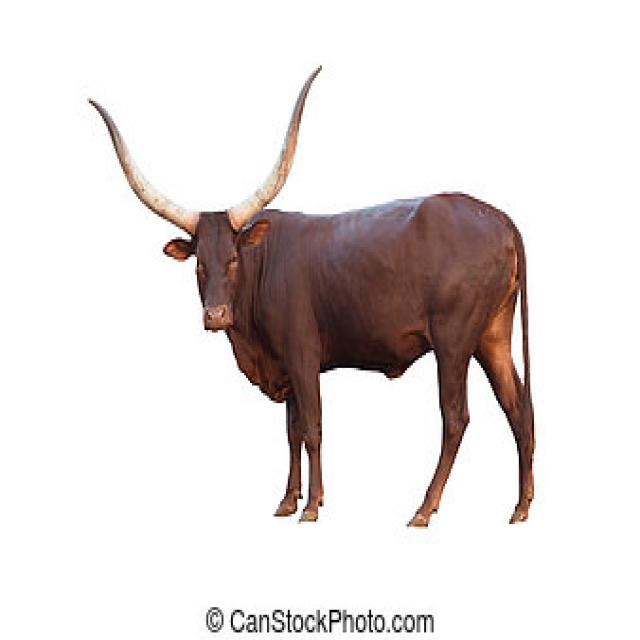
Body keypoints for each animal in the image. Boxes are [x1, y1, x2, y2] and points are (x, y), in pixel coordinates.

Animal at [90, 66, 534, 527]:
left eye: (233, 259)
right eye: (198, 264)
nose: (216, 315)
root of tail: (498, 217)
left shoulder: (303, 356)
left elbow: (313, 428)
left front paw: (312, 506)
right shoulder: (283, 362)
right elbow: (292, 431)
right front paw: (288, 500)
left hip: (453, 342)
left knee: (455, 418)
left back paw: (424, 508)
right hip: (492, 337)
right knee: (518, 407)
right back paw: (520, 506)